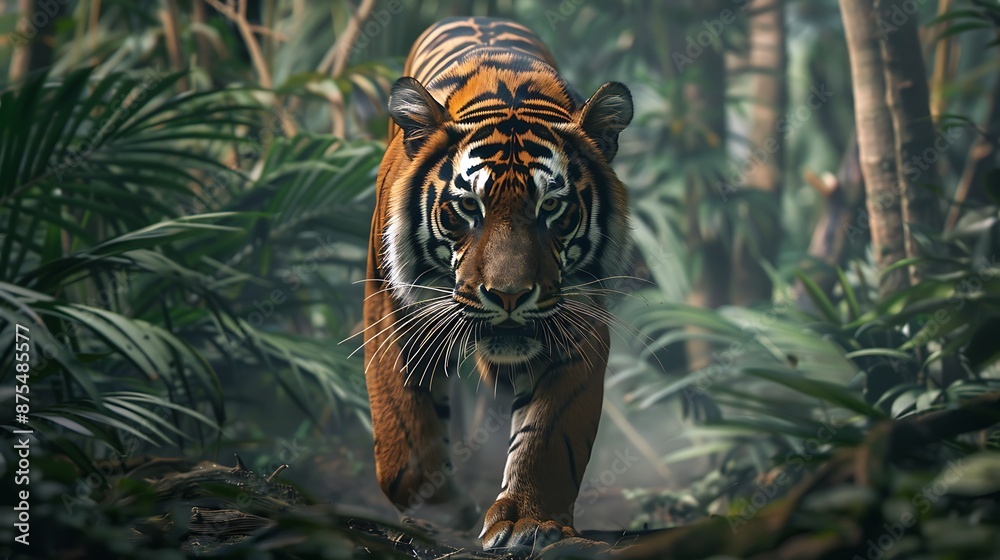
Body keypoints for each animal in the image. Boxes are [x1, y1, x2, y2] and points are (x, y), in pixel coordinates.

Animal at [362, 16, 633, 554]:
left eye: (552, 207)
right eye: (469, 207)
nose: (509, 295)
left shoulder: (577, 320)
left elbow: (548, 435)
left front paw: (530, 520)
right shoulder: (390, 308)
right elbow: (404, 432)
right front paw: (443, 508)